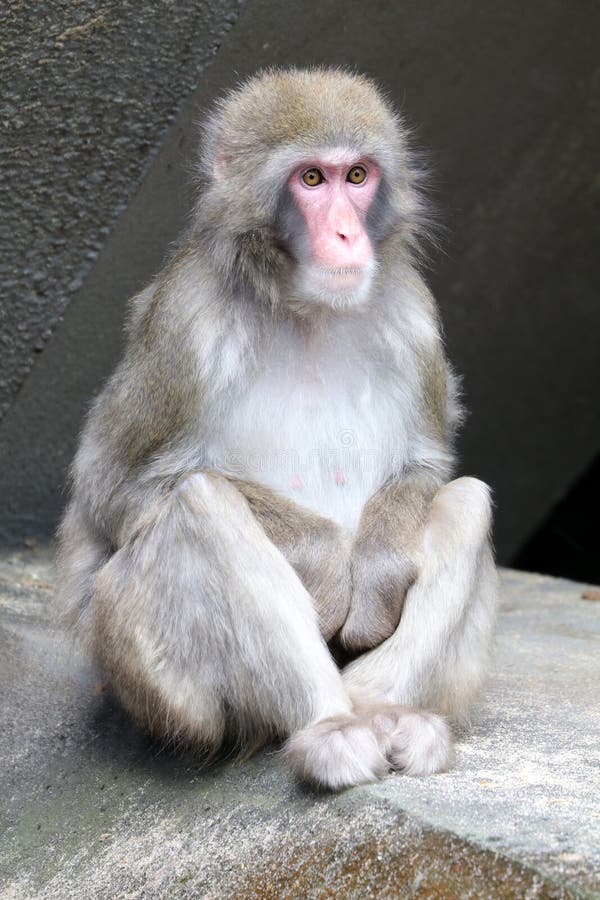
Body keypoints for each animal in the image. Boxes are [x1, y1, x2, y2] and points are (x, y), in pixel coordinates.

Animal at [57, 68, 498, 791]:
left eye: (357, 176)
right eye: (311, 179)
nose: (347, 234)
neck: (306, 309)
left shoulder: (412, 310)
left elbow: (427, 464)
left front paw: (373, 575)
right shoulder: (187, 322)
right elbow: (112, 492)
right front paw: (328, 569)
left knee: (467, 500)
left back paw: (385, 712)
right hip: (151, 683)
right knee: (198, 503)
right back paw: (330, 730)